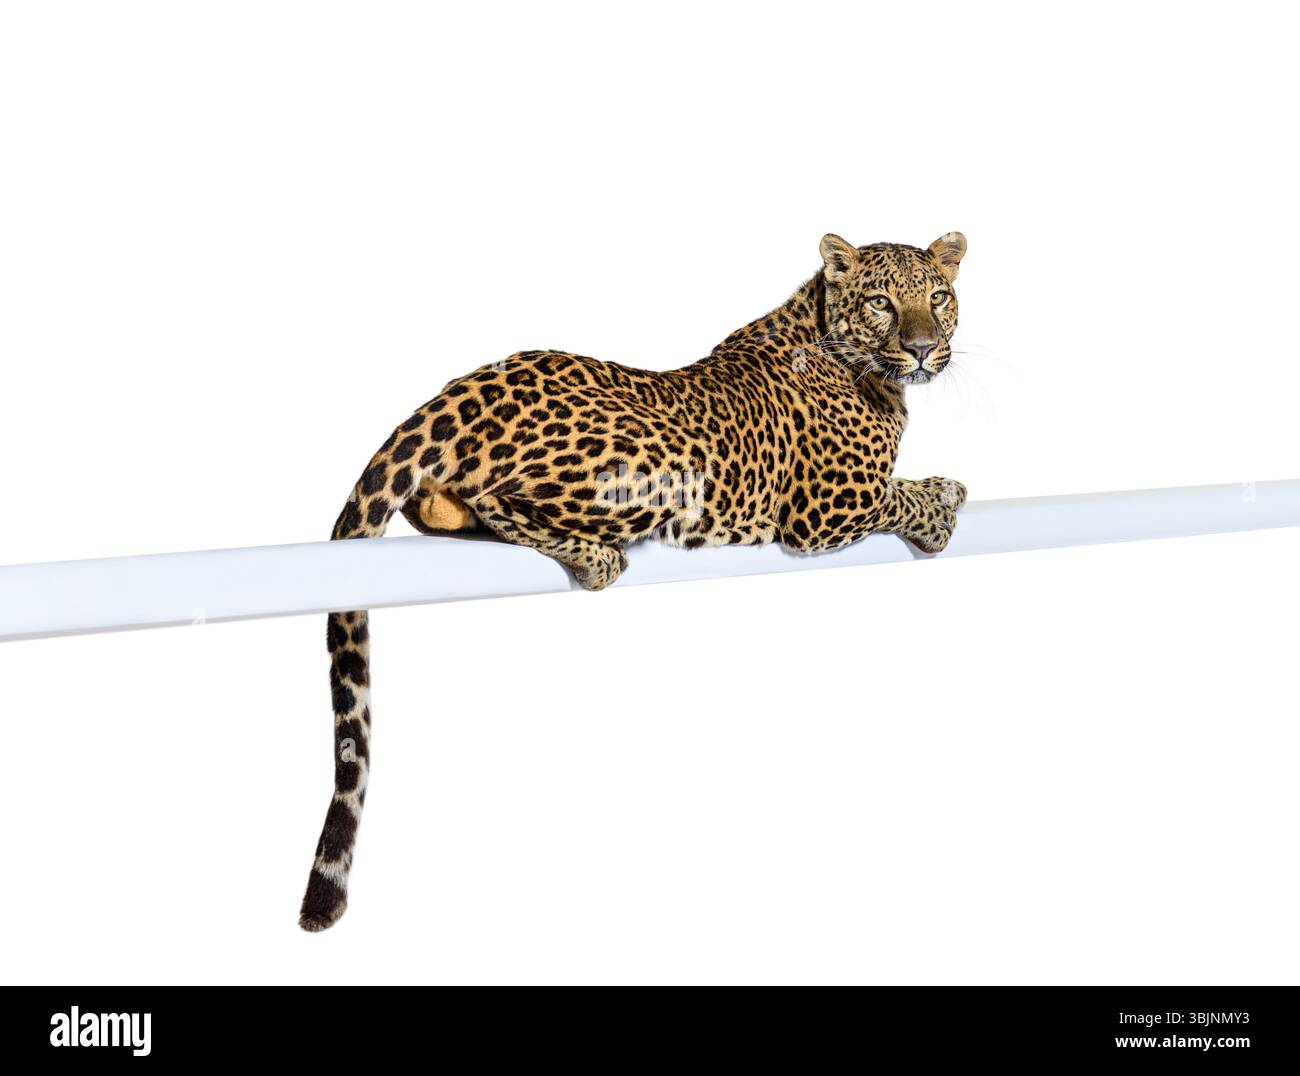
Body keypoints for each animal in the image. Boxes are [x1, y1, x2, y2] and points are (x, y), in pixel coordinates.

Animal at [299, 231, 970, 930]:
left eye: (938, 296)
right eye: (881, 302)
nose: (923, 348)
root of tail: (451, 396)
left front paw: (946, 485)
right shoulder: (829, 509)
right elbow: (899, 496)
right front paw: (942, 506)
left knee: (441, 505)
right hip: (662, 464)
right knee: (495, 498)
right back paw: (597, 558)